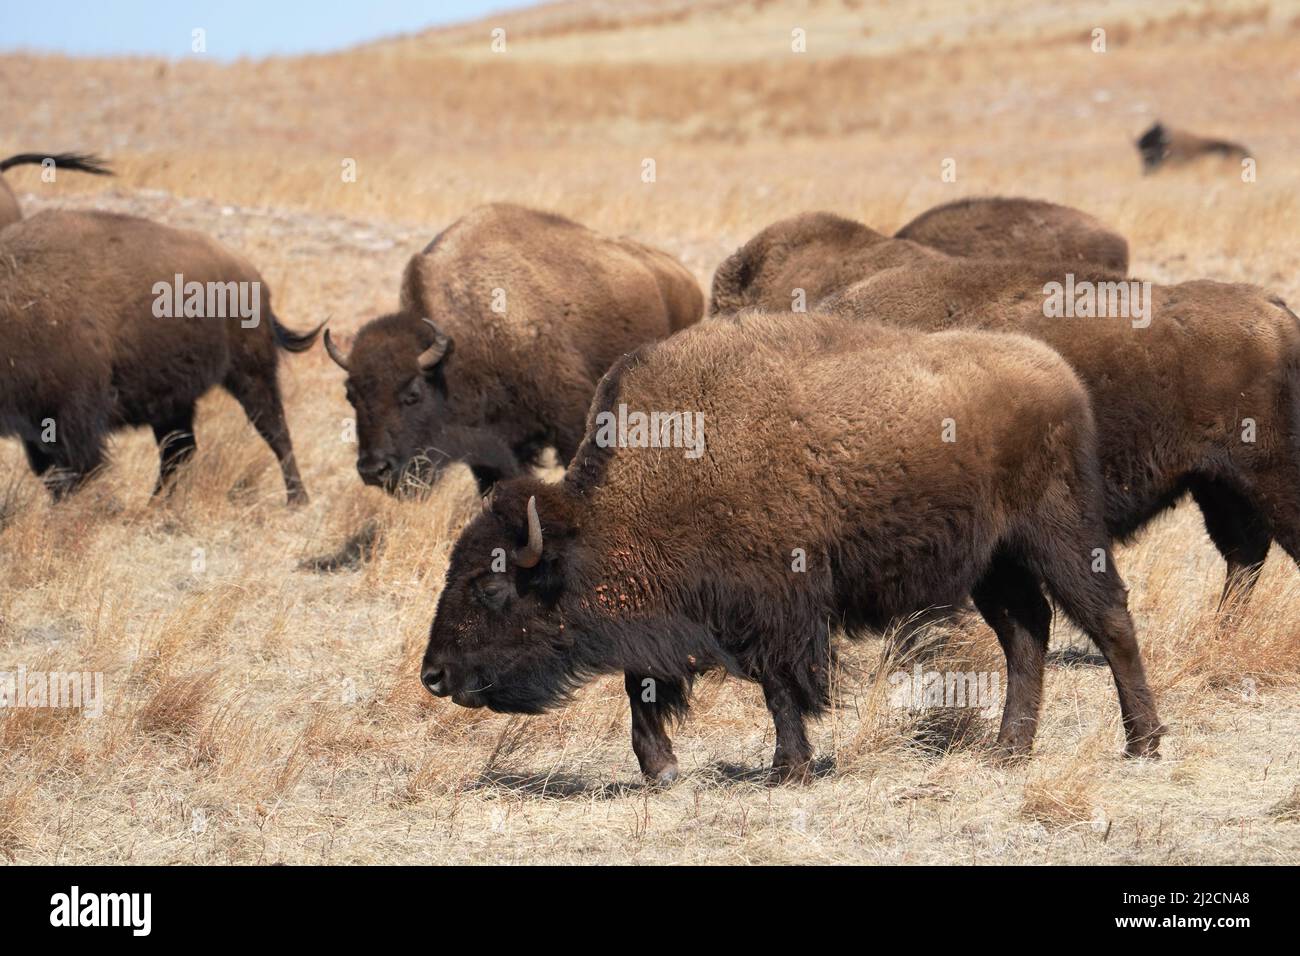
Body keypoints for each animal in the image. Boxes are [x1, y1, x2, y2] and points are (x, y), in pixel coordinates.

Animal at [0, 210, 320, 504]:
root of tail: (253, 276)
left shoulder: (72, 419)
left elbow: (75, 470)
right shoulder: (38, 427)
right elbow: (51, 474)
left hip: (251, 374)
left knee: (276, 432)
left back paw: (297, 500)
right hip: (173, 402)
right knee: (179, 451)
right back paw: (155, 505)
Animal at [324, 203, 703, 495]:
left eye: (412, 394)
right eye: (350, 396)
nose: (374, 470)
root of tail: (683, 277)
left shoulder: (569, 419)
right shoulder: (492, 449)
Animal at [421, 312, 1164, 782]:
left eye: (491, 587)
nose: (433, 676)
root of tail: (1058, 373)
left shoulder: (777, 612)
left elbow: (779, 688)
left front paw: (788, 769)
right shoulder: (666, 616)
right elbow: (642, 684)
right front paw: (663, 769)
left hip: (1059, 538)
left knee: (1108, 620)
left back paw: (1144, 744)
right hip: (993, 564)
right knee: (1026, 634)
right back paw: (1010, 751)